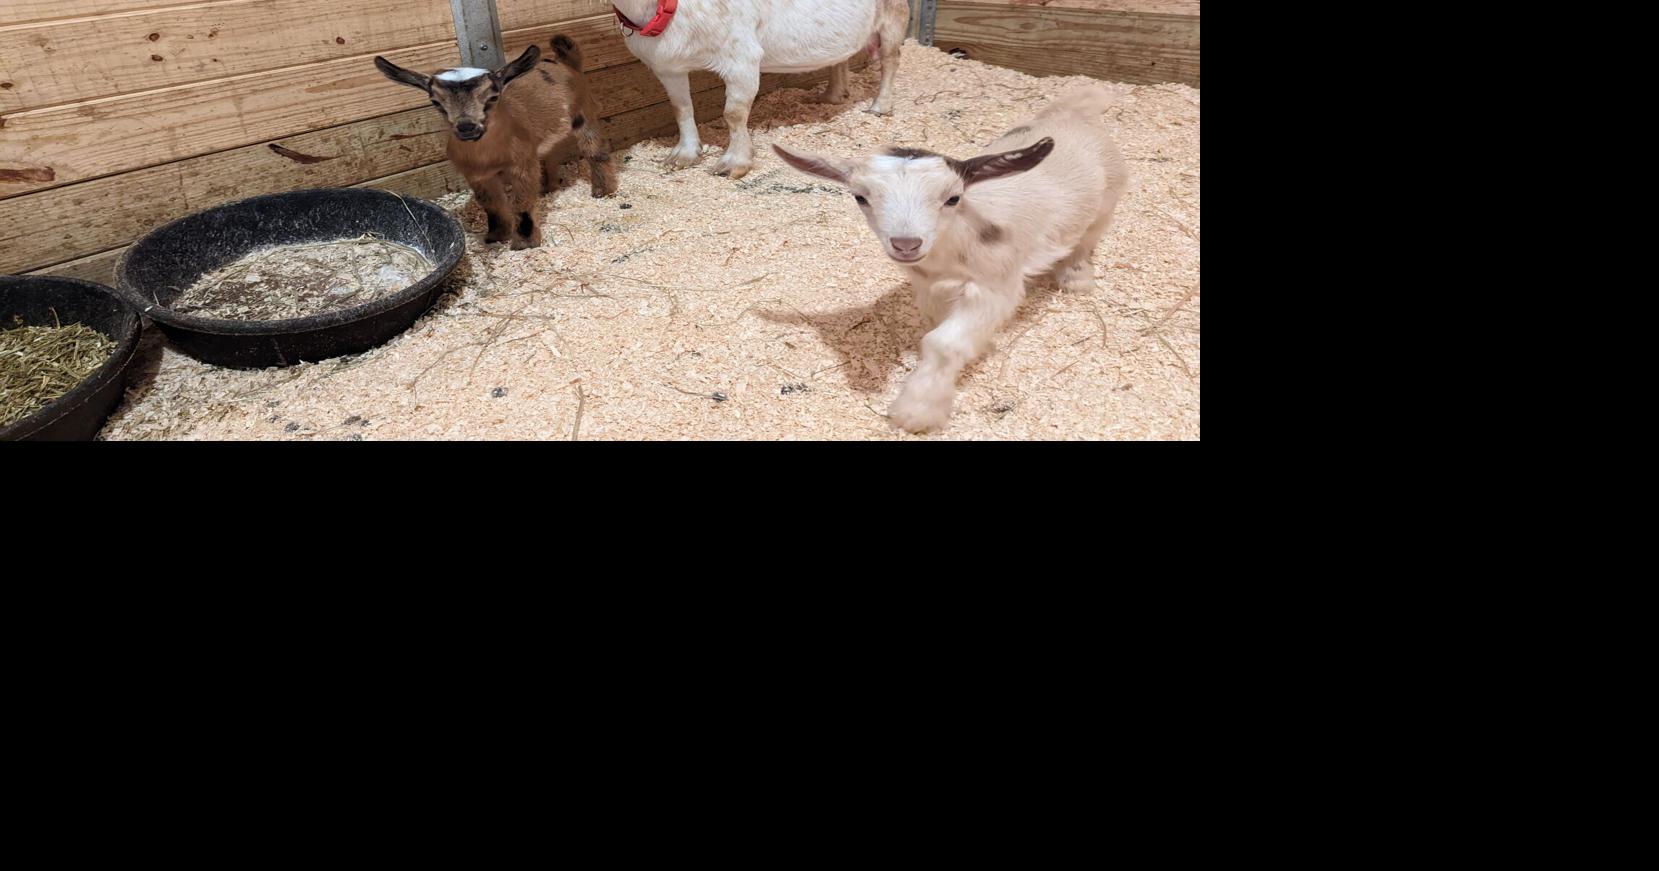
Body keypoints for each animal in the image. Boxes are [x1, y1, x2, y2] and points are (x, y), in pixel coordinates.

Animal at [375, 36, 618, 250]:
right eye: (435, 102)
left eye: (492, 97)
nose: (467, 127)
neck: (488, 156)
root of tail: (567, 63)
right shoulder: (477, 175)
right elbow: (490, 204)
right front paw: (496, 235)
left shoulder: (522, 164)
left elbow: (521, 203)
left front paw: (524, 243)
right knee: (551, 154)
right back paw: (549, 188)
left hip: (583, 112)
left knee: (595, 150)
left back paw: (602, 191)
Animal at [615, 0, 909, 179]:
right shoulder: (668, 67)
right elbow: (681, 108)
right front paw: (682, 156)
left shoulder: (742, 57)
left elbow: (733, 113)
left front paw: (733, 164)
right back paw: (832, 96)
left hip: (894, 14)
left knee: (891, 59)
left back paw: (880, 107)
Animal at [773, 86, 1130, 433]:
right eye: (860, 197)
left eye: (953, 198)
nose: (906, 244)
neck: (951, 248)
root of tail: (1073, 113)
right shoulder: (929, 286)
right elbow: (939, 326)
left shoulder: (994, 286)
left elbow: (943, 343)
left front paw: (917, 411)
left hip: (1106, 203)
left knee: (1088, 238)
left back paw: (1076, 278)